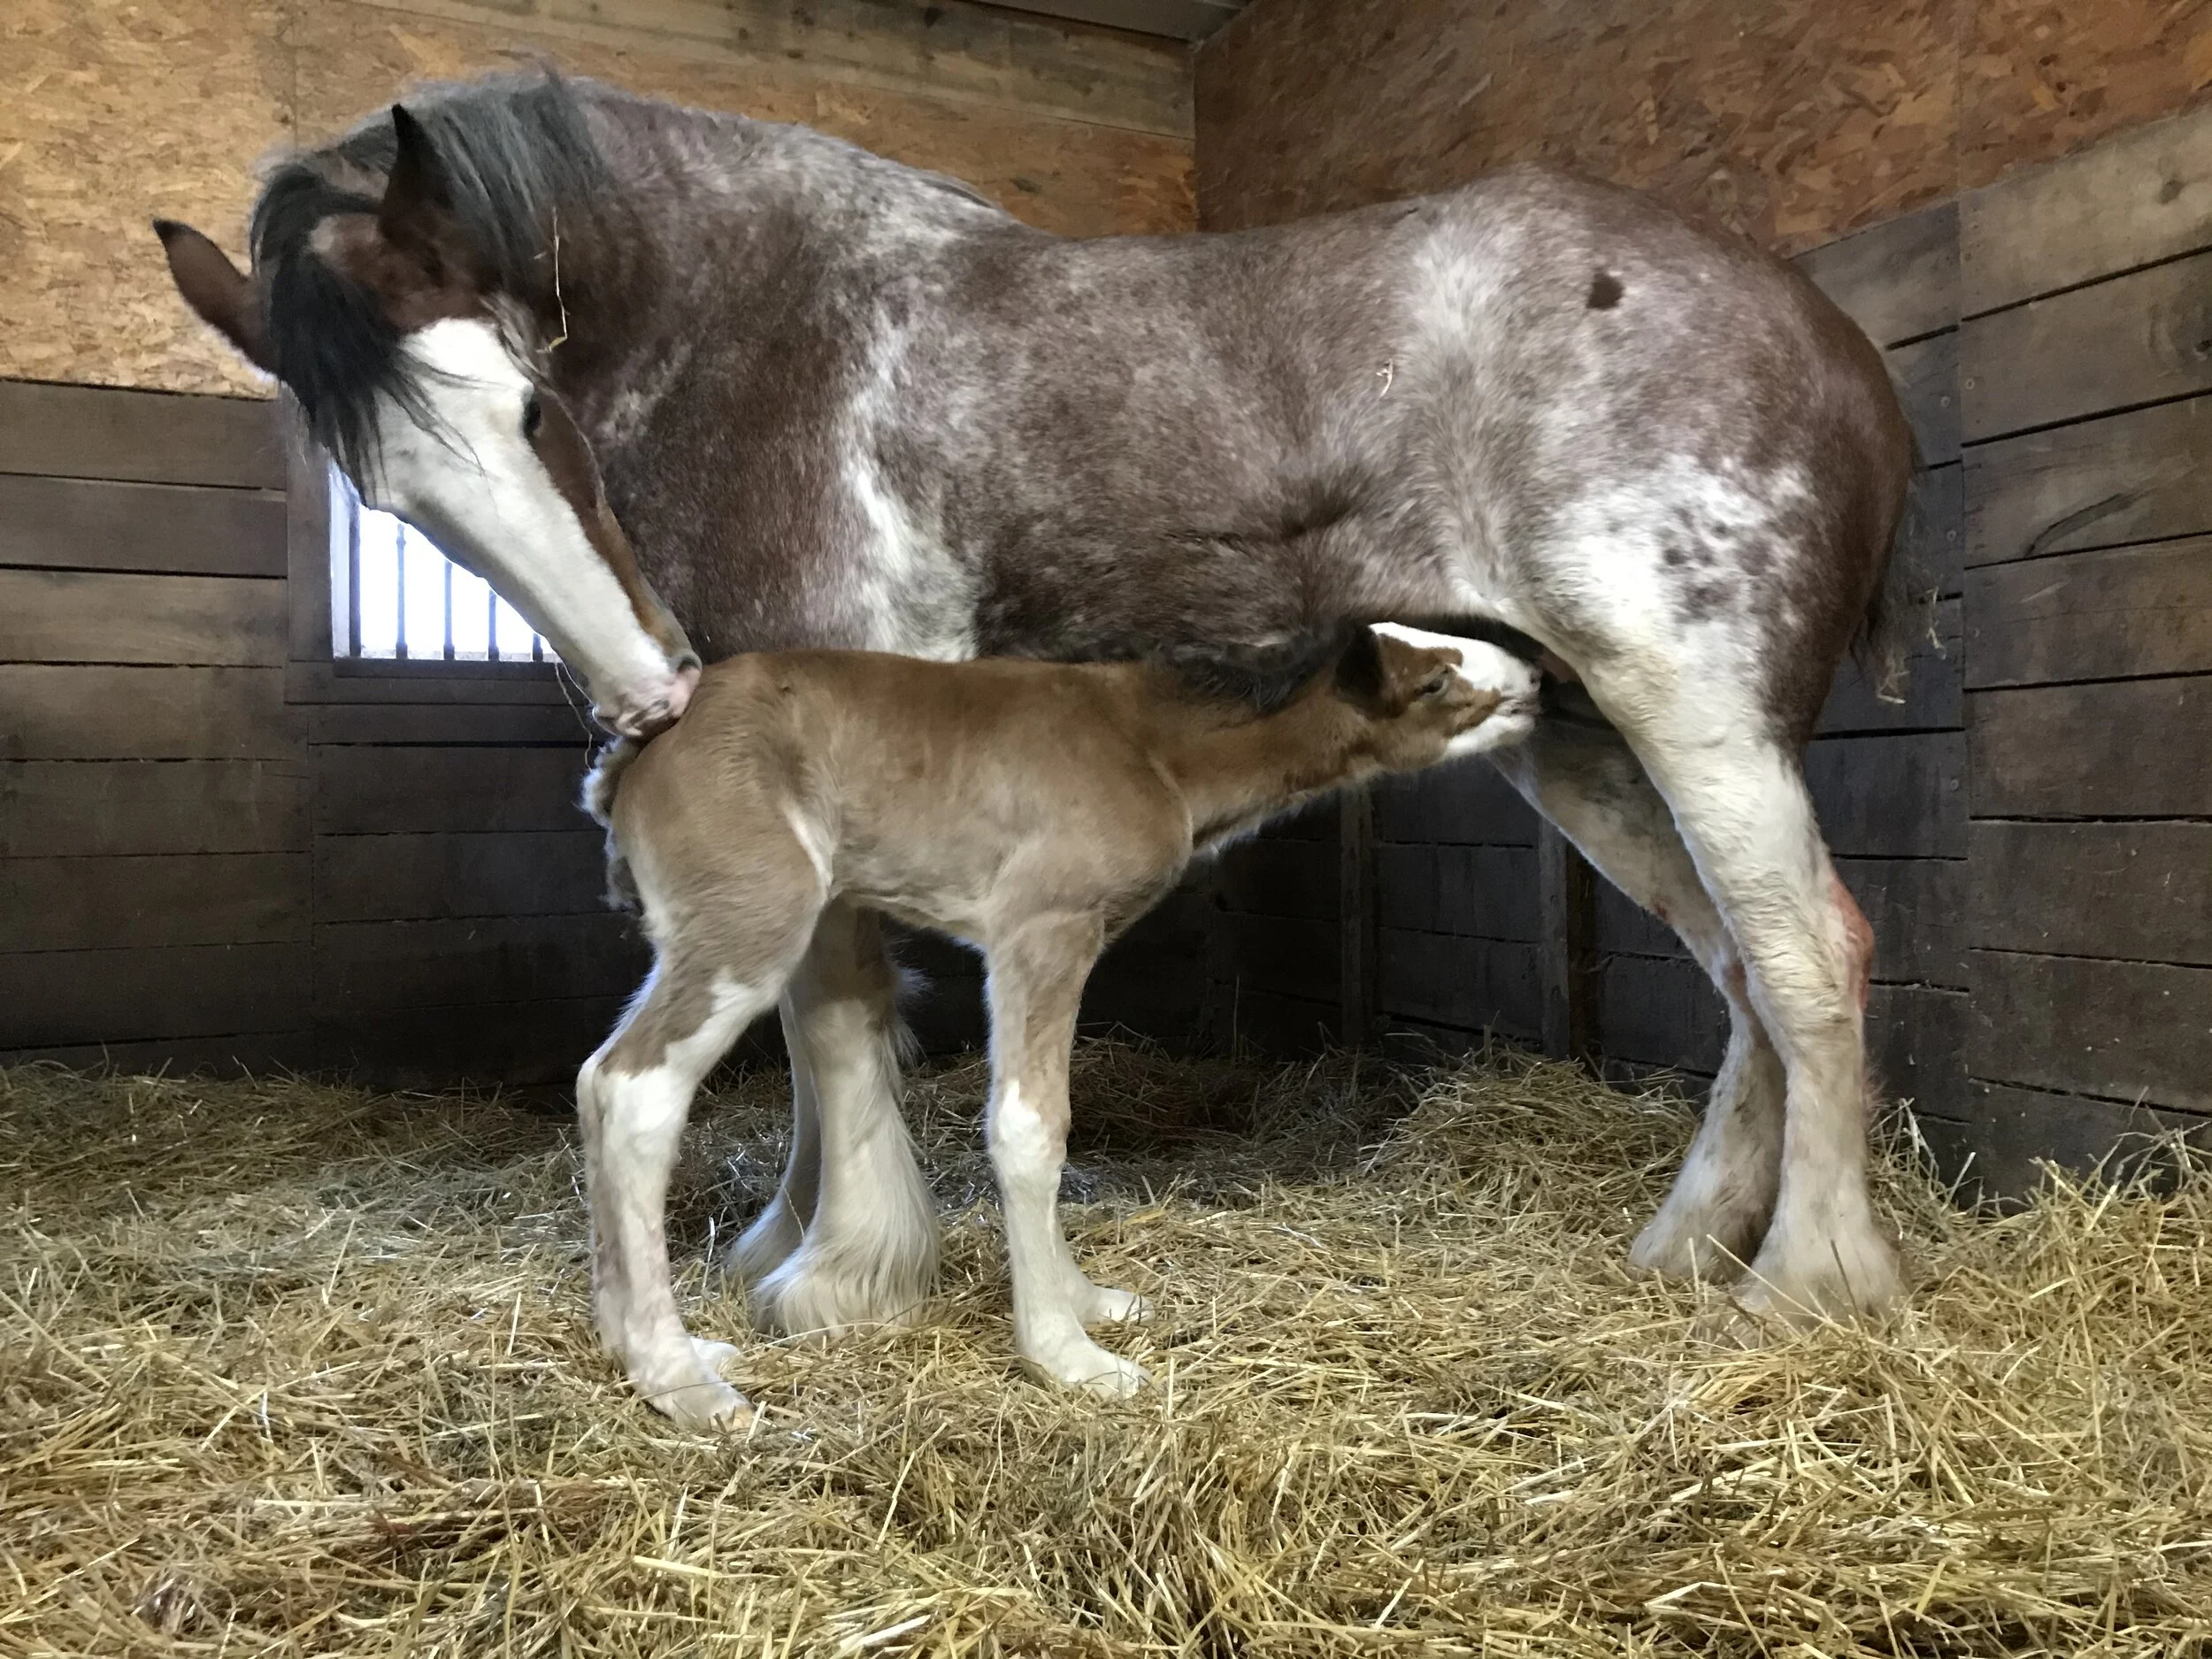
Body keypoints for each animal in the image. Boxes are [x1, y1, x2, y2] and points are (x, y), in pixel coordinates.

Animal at [155, 69, 1916, 1335]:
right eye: (387, 493)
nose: (644, 692)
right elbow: (823, 1006)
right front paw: (788, 1241)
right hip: (1578, 737)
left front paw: (843, 1275)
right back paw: (1684, 1246)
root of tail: (1836, 344)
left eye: (527, 404)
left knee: (1808, 956)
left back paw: (1806, 1286)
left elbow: (838, 1002)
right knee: (1739, 969)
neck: (772, 322)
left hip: (1694, 712)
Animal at [577, 623, 1539, 1427]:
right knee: (633, 1088)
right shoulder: (1041, 926)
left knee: (596, 1082)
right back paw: (682, 1380)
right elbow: (1030, 1129)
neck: (1150, 745)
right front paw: (1066, 1354)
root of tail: (635, 758)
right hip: (748, 923)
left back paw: (632, 1343)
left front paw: (1087, 1303)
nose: (1534, 679)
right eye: (1433, 680)